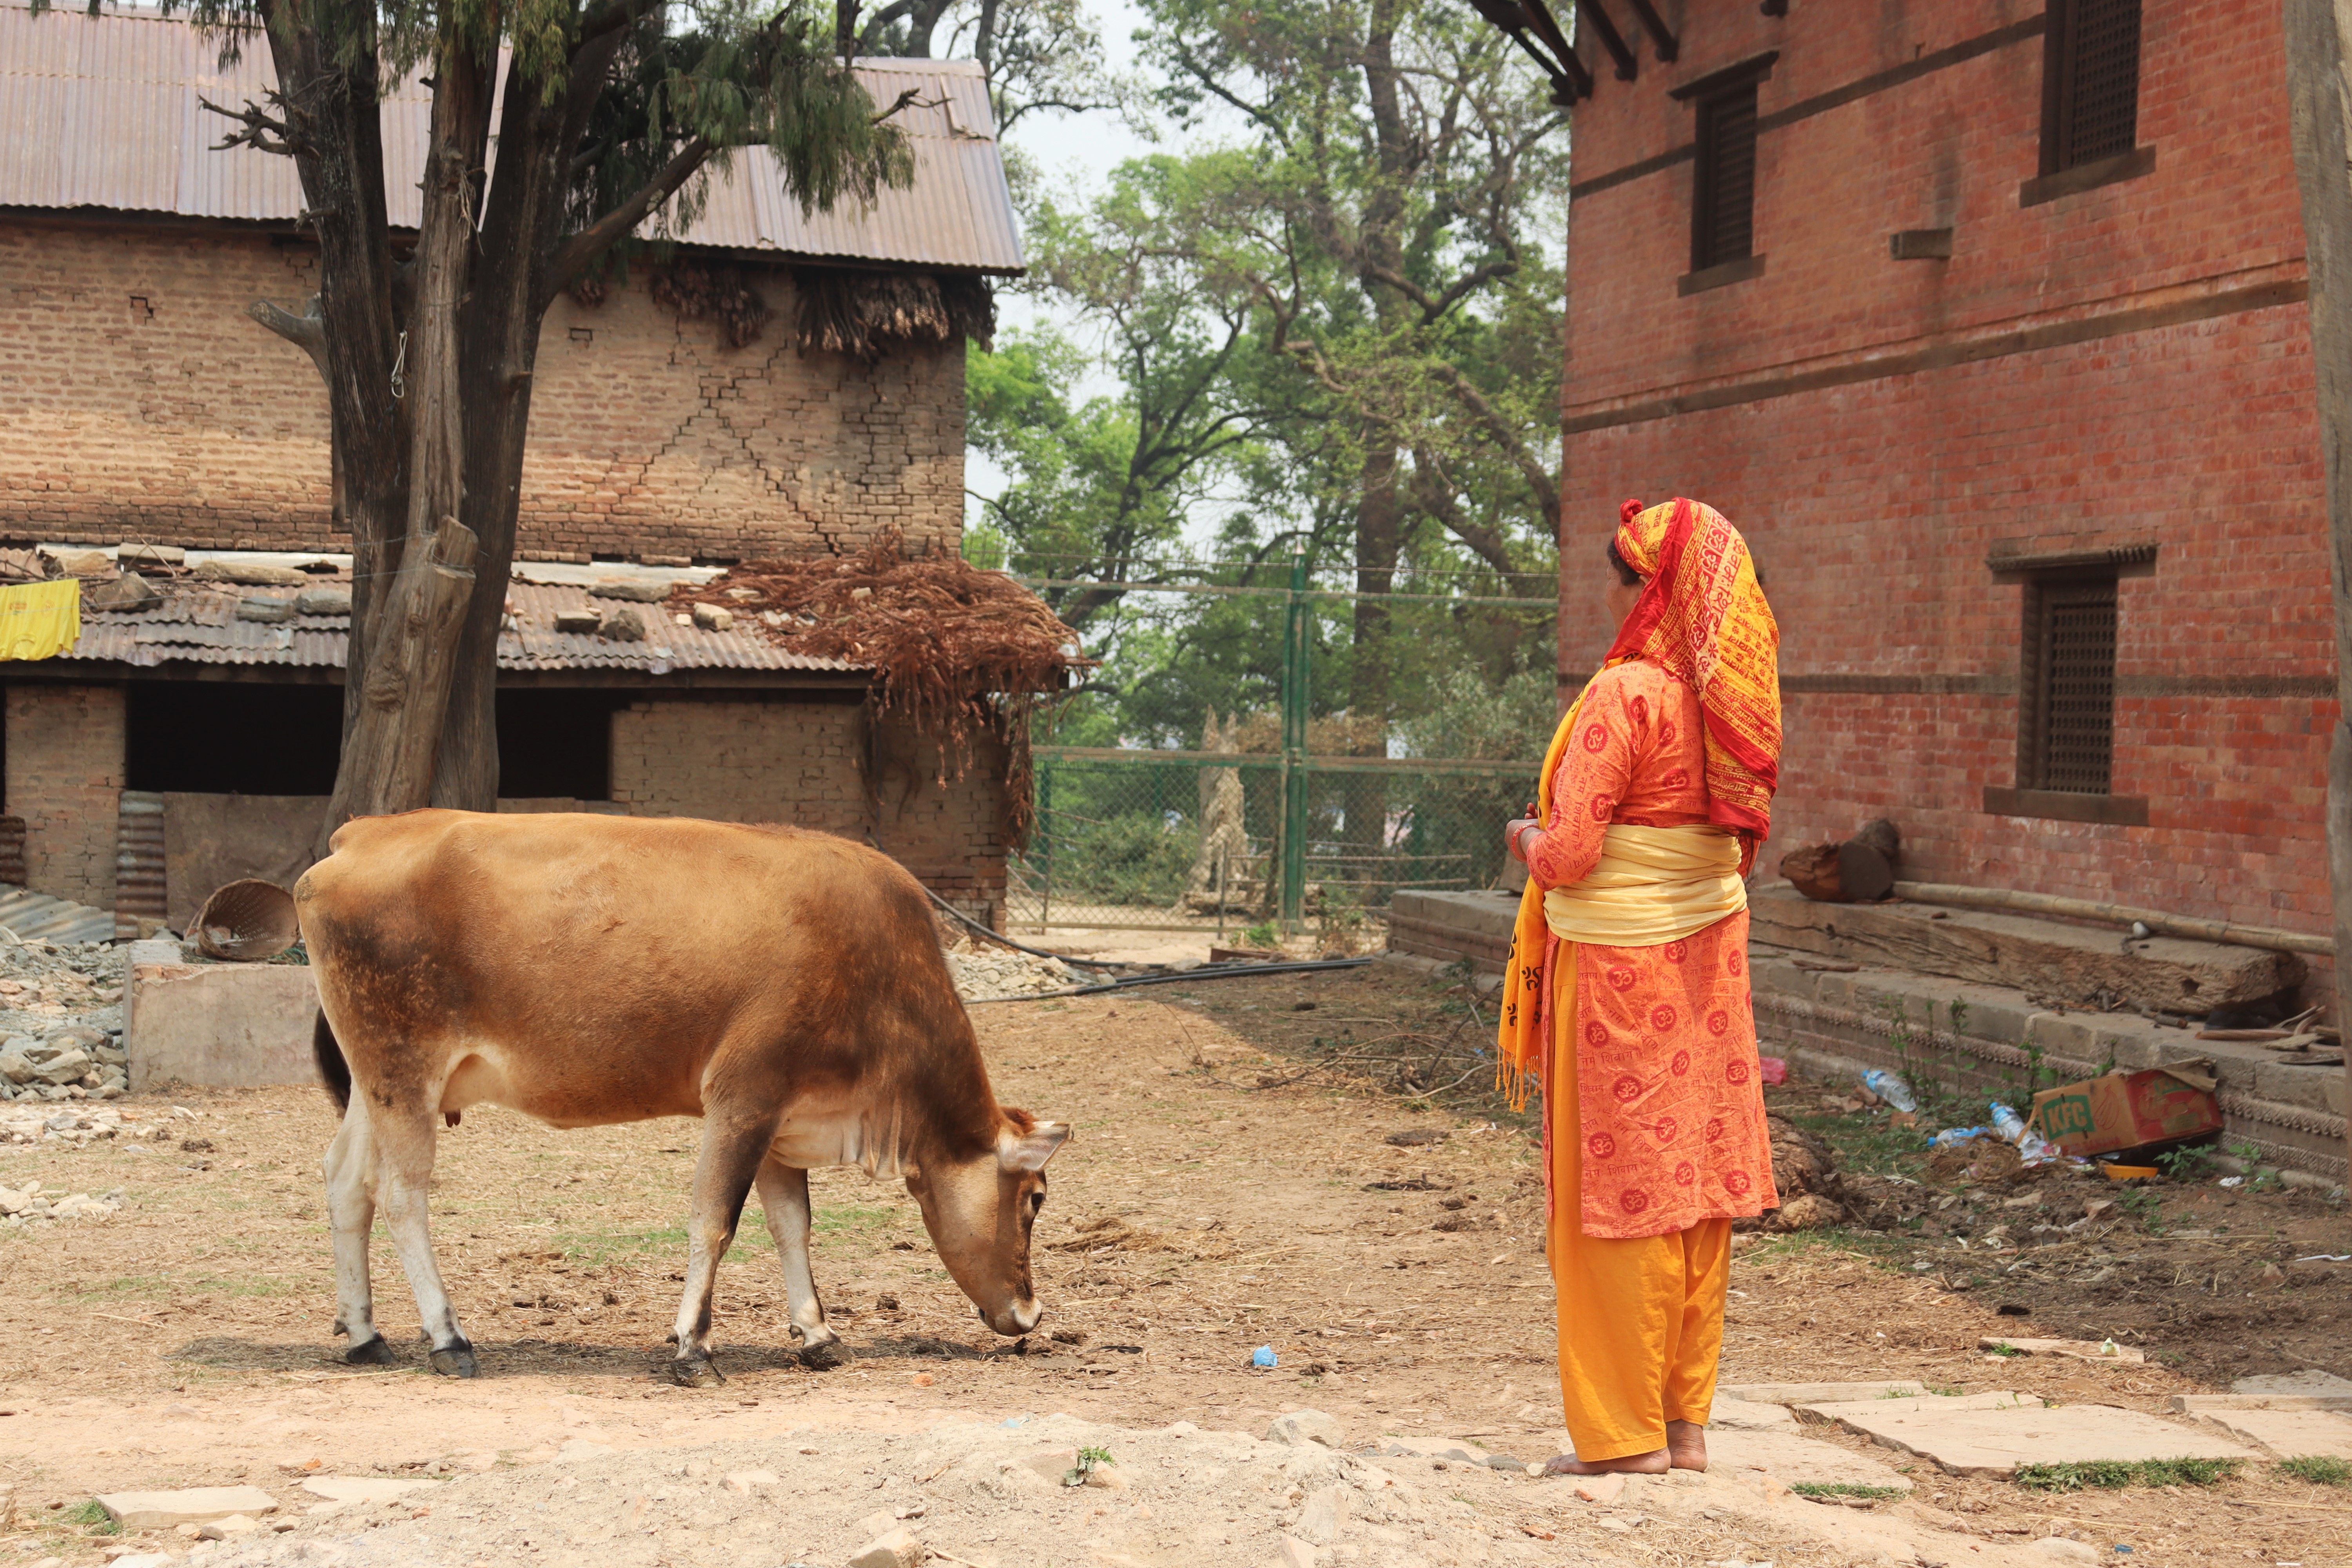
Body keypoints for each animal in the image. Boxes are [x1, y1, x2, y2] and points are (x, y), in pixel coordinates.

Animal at [293, 809, 1068, 1386]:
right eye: (1034, 1199)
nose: (1030, 1316)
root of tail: (362, 834)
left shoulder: (782, 1116)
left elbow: (792, 1225)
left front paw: (818, 1333)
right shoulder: (743, 1098)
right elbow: (715, 1222)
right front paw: (693, 1347)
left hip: (376, 1084)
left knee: (345, 1180)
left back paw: (364, 1334)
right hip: (403, 1070)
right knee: (402, 1195)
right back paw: (448, 1339)